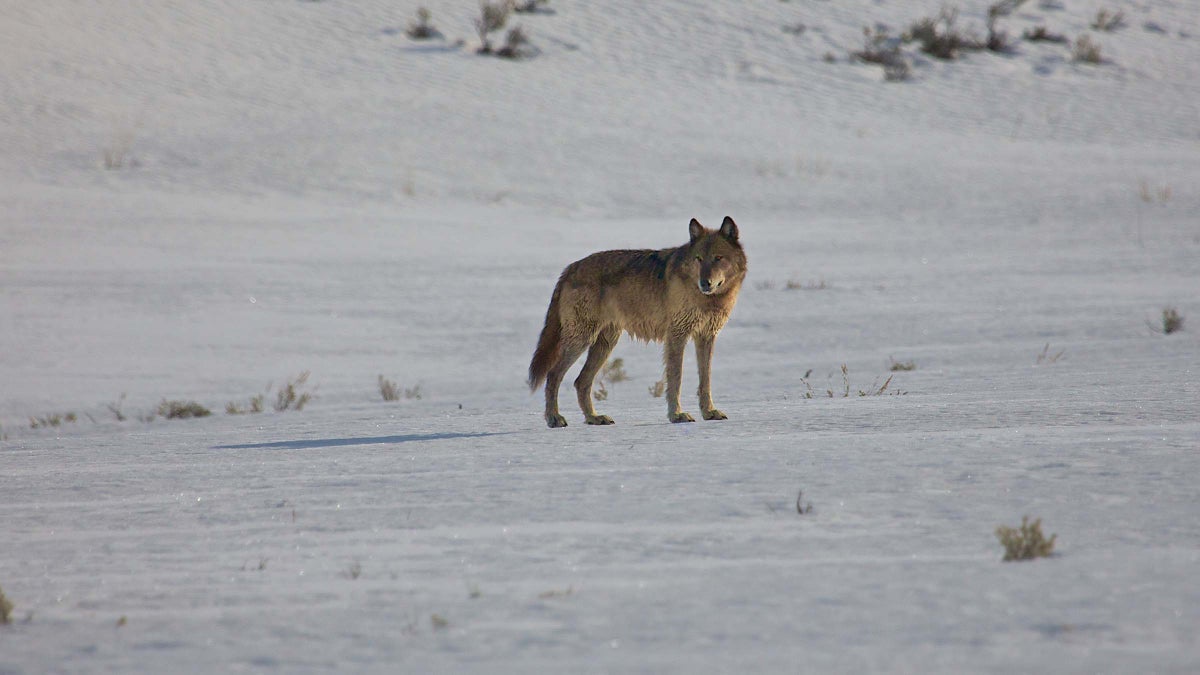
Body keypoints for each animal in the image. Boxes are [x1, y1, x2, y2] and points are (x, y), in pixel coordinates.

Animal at [528, 216, 747, 428]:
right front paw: (677, 415)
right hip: (582, 340)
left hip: (605, 344)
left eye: (718, 258)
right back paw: (554, 418)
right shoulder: (677, 335)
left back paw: (594, 418)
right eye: (699, 259)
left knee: (581, 381)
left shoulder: (706, 337)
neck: (707, 299)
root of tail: (570, 268)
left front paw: (709, 412)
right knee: (553, 375)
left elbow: (705, 380)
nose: (704, 283)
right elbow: (676, 379)